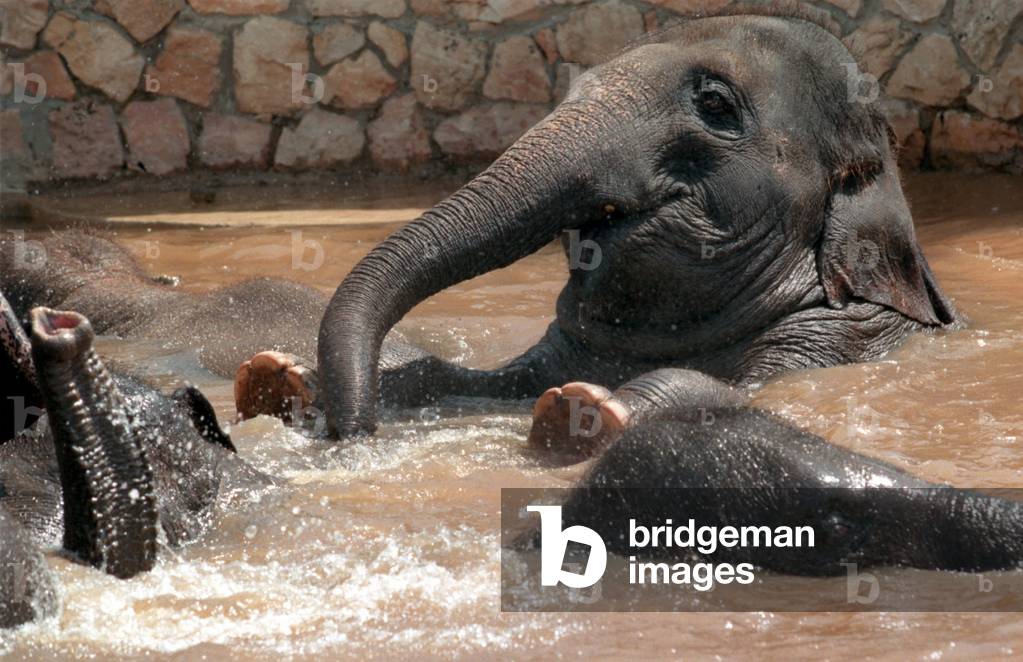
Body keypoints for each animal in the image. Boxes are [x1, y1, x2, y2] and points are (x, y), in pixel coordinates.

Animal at [315, 5, 957, 439]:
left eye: (715, 103)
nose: (353, 432)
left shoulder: (838, 338)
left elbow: (722, 388)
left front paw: (583, 408)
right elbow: (475, 378)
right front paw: (297, 383)